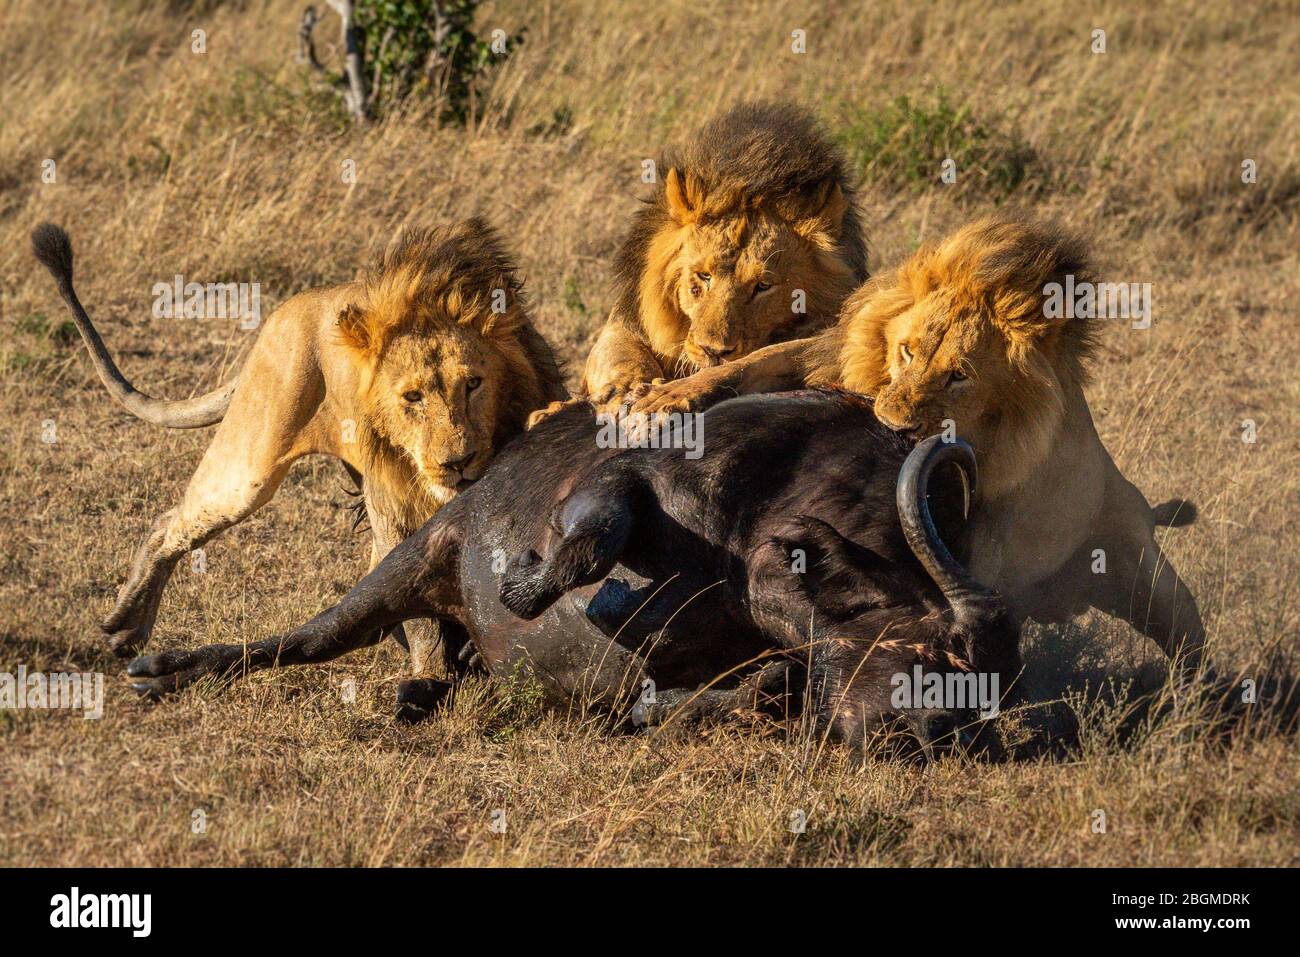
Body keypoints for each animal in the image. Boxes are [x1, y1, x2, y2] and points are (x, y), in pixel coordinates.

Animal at [32, 218, 567, 678]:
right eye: (412, 397)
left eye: (473, 384)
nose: (456, 462)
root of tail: (290, 307)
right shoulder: (390, 504)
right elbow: (419, 620)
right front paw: (433, 679)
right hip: (252, 461)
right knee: (171, 523)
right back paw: (126, 628)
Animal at [128, 391, 1021, 757]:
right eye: (937, 651)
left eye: (982, 696)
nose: (929, 733)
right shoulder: (630, 477)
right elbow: (592, 543)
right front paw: (529, 580)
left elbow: (746, 688)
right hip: (412, 557)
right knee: (308, 638)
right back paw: (158, 664)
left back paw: (422, 690)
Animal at [533, 102, 867, 425]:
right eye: (703, 276)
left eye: (763, 286)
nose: (713, 351)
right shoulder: (624, 321)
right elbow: (621, 353)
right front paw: (625, 389)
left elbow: (762, 357)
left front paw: (671, 394)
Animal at [630, 215, 1206, 667]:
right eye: (907, 351)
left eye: (959, 377)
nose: (894, 424)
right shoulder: (826, 356)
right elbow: (755, 360)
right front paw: (660, 400)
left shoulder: (982, 538)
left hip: (1143, 570)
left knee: (1189, 638)